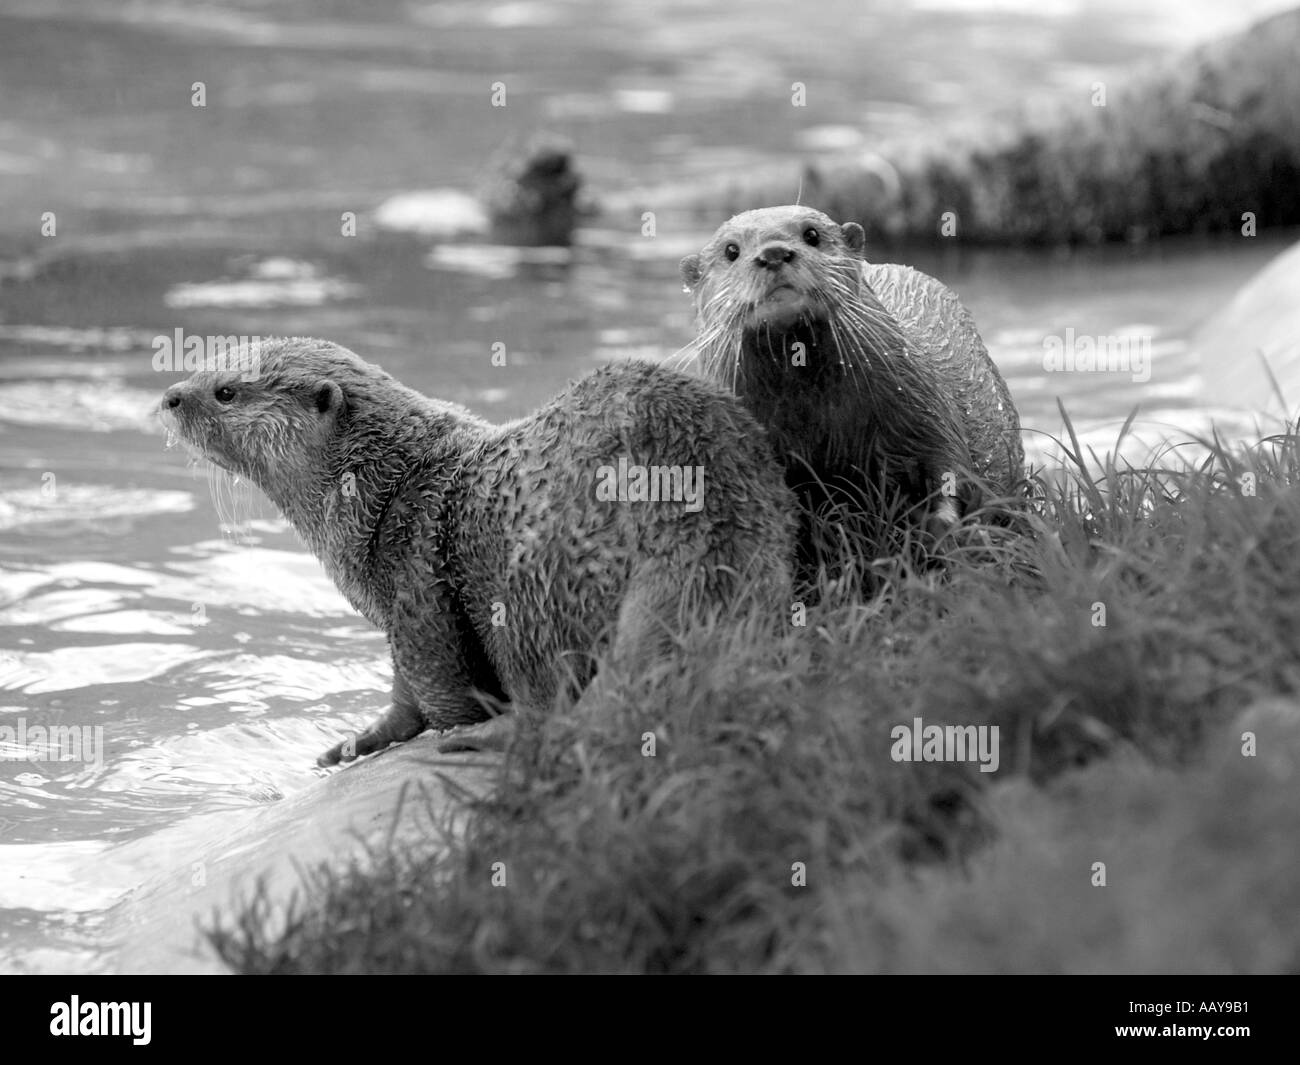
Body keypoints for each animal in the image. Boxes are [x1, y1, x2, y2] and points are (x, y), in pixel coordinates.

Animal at [160, 338, 795, 765]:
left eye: (224, 391)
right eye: (210, 364)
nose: (168, 396)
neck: (383, 490)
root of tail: (694, 502)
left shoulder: (413, 579)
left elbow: (433, 686)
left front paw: (422, 733)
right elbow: (404, 700)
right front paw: (355, 742)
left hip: (531, 577)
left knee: (545, 700)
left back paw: (485, 739)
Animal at [676, 205, 1023, 544]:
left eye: (812, 234)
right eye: (731, 250)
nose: (773, 253)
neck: (815, 425)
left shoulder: (925, 407)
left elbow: (949, 470)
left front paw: (944, 529)